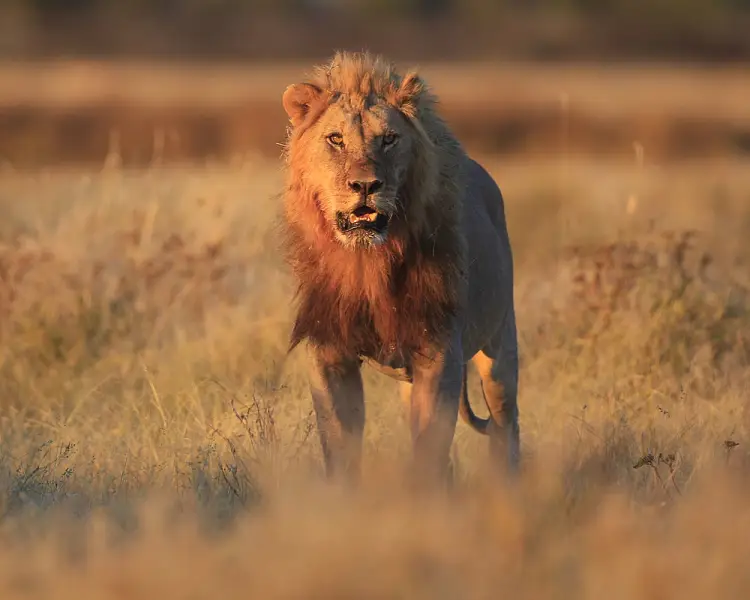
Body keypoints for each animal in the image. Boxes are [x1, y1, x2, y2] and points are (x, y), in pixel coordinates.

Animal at [280, 51, 519, 484]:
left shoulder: (438, 352)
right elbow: (340, 443)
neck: (368, 262)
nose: (365, 186)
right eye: (335, 139)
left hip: (499, 348)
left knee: (506, 427)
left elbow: (430, 448)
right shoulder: (329, 351)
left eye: (389, 139)